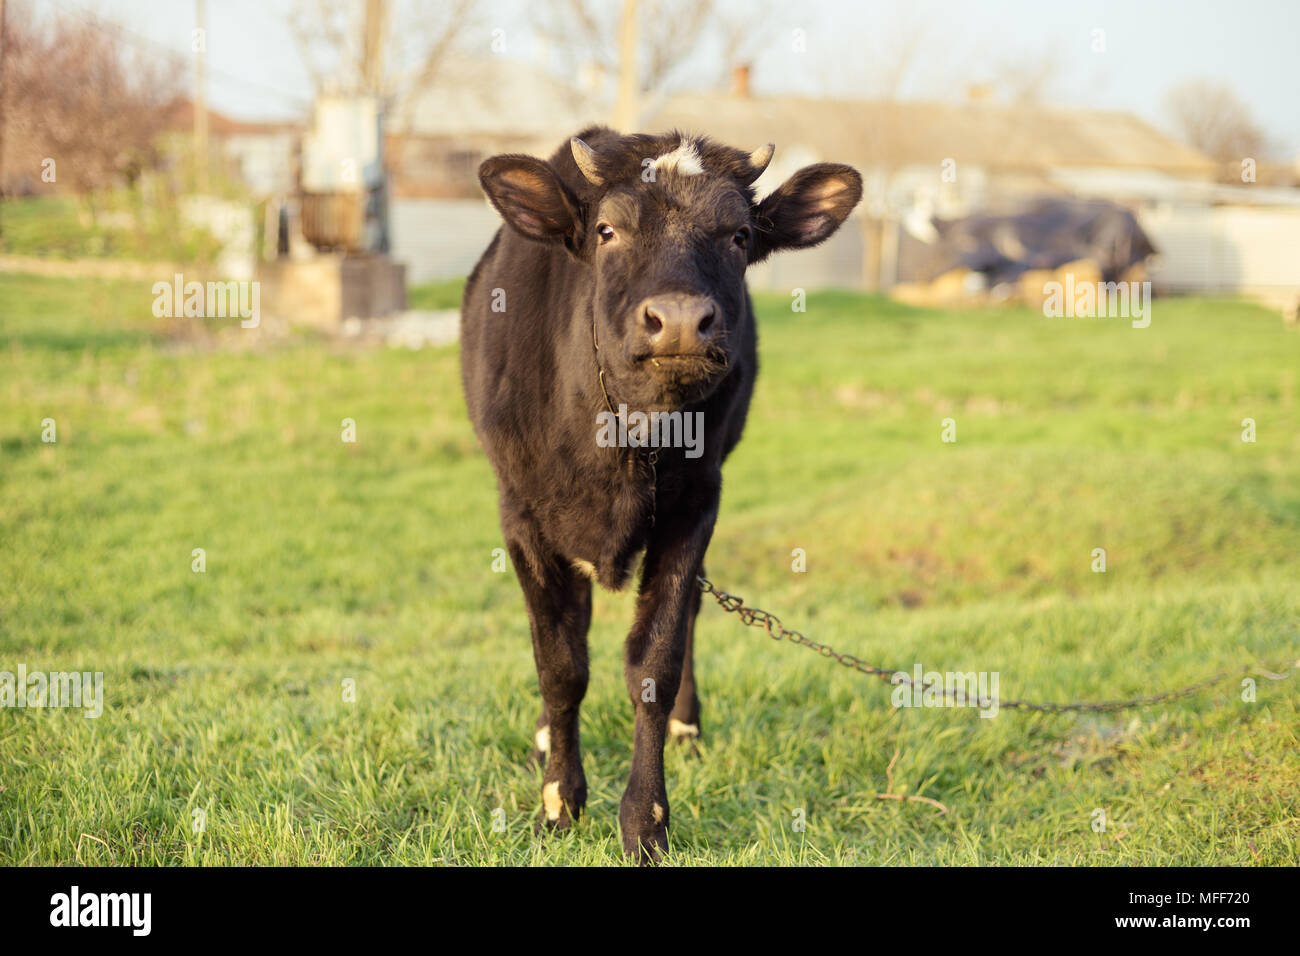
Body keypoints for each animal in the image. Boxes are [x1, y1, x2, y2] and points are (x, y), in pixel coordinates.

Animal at [461, 126, 862, 862]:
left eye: (739, 235)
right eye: (607, 230)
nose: (678, 321)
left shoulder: (695, 506)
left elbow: (653, 663)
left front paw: (644, 820)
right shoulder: (522, 515)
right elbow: (560, 665)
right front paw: (560, 801)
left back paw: (685, 728)